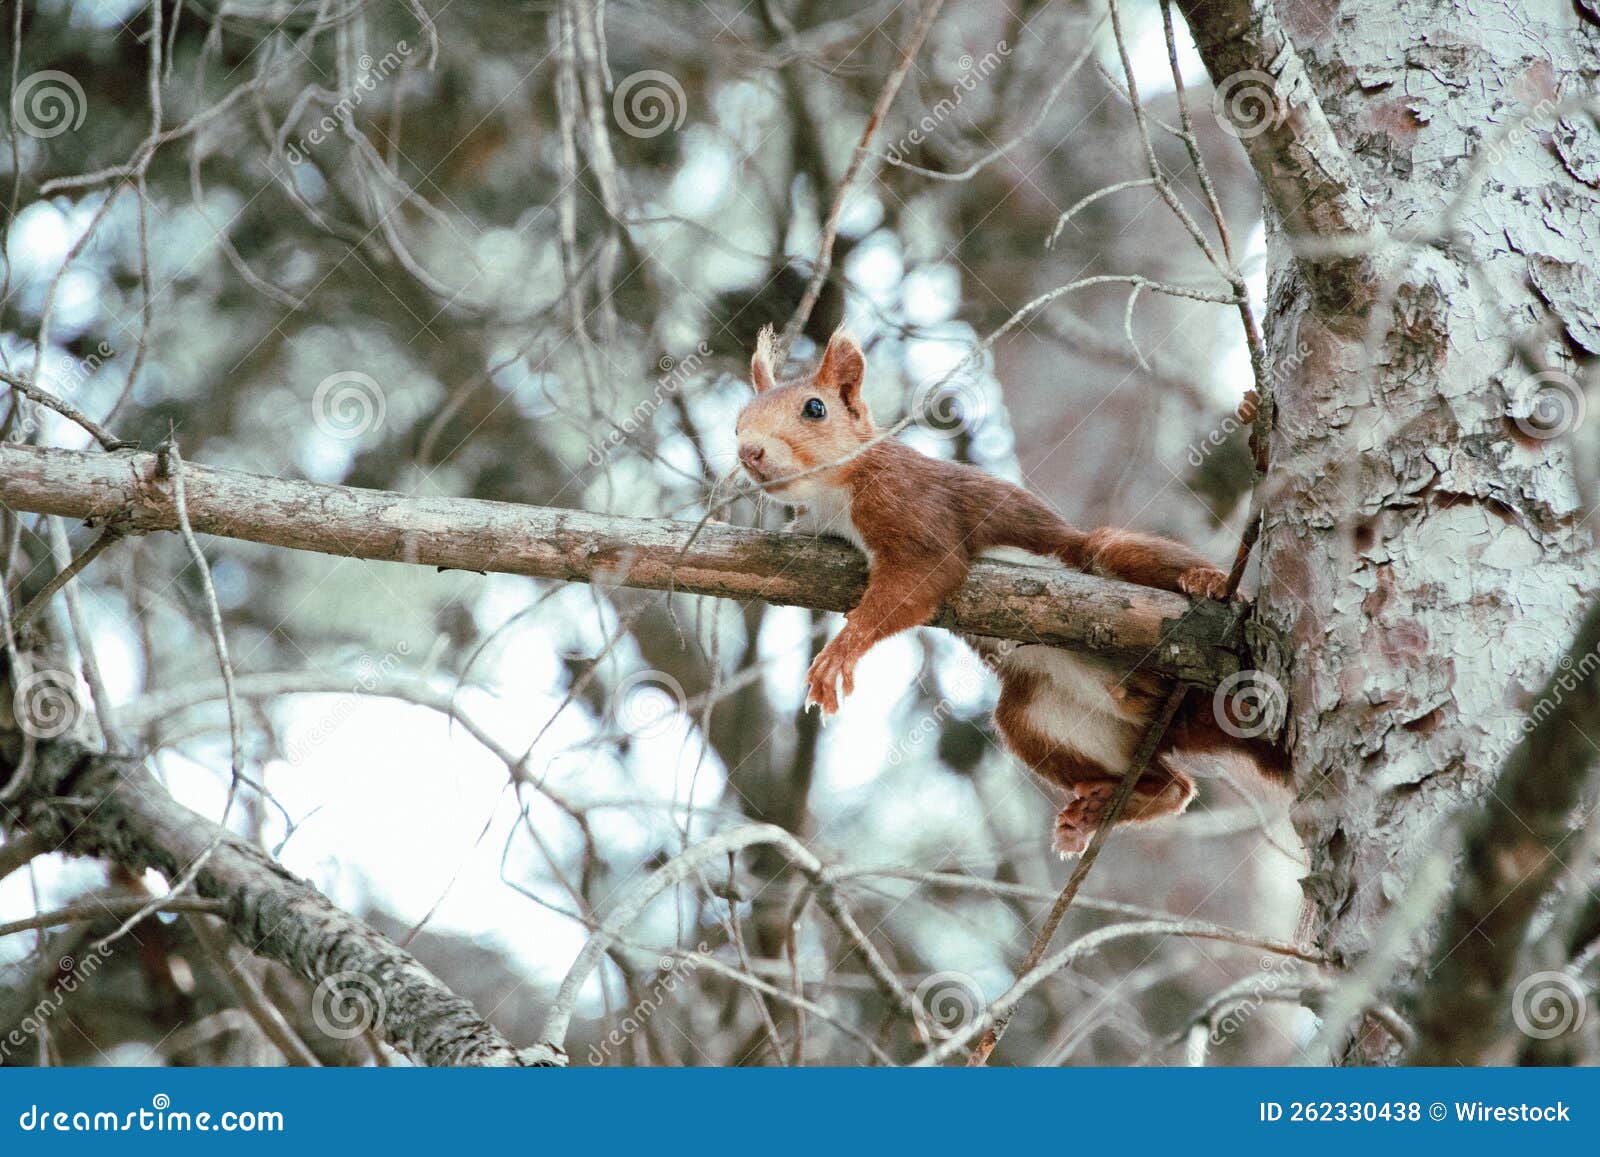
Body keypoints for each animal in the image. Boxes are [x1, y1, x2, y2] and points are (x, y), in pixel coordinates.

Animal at [735, 327, 1289, 857]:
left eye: (815, 408)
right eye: (739, 418)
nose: (748, 452)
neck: (833, 493)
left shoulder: (910, 504)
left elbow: (924, 577)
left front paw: (839, 653)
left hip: (1107, 561)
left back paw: (1212, 584)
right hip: (1039, 719)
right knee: (1173, 786)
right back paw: (1101, 810)